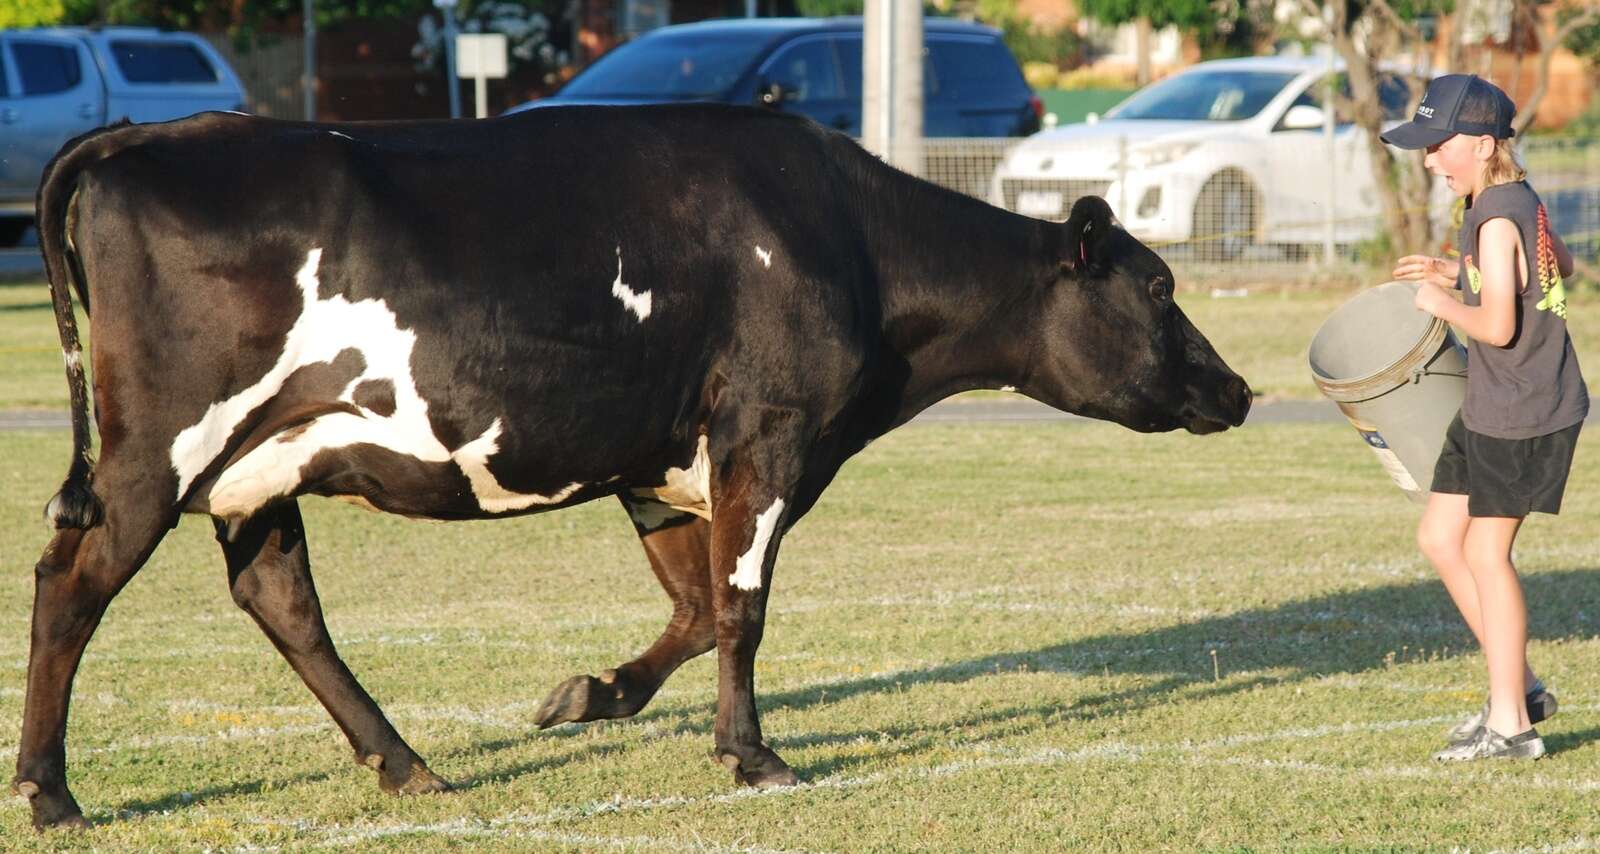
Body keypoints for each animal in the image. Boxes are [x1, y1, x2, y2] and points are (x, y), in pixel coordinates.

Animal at [15, 104, 1250, 830]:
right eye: (1158, 288)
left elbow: (696, 609)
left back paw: (407, 764)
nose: (1235, 390)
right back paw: (49, 789)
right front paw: (752, 755)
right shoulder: (767, 435)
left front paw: (592, 694)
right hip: (157, 451)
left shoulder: (662, 466)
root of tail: (141, 135)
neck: (846, 239)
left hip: (263, 466)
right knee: (70, 585)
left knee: (282, 599)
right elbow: (742, 607)